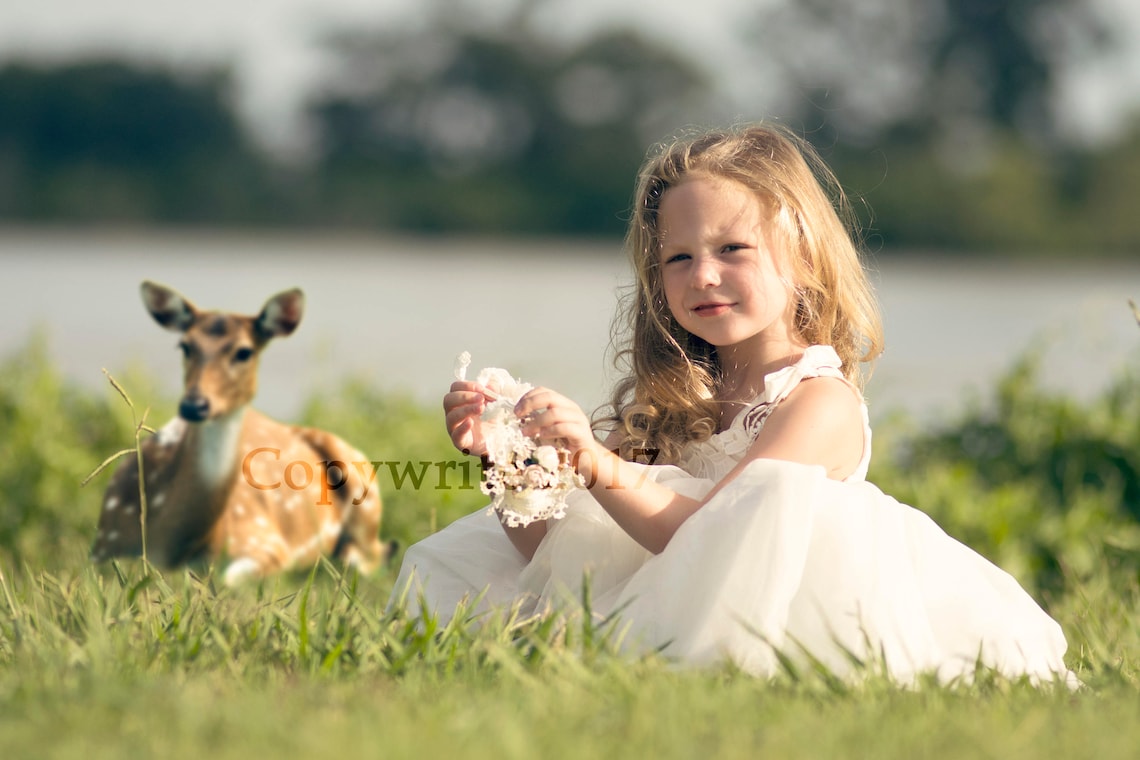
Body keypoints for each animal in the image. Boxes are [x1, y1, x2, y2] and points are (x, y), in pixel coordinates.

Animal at [91, 280, 390, 585]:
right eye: (184, 346)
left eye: (244, 351)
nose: (194, 405)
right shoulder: (102, 546)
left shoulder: (266, 541)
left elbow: (229, 577)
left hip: (364, 489)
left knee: (373, 556)